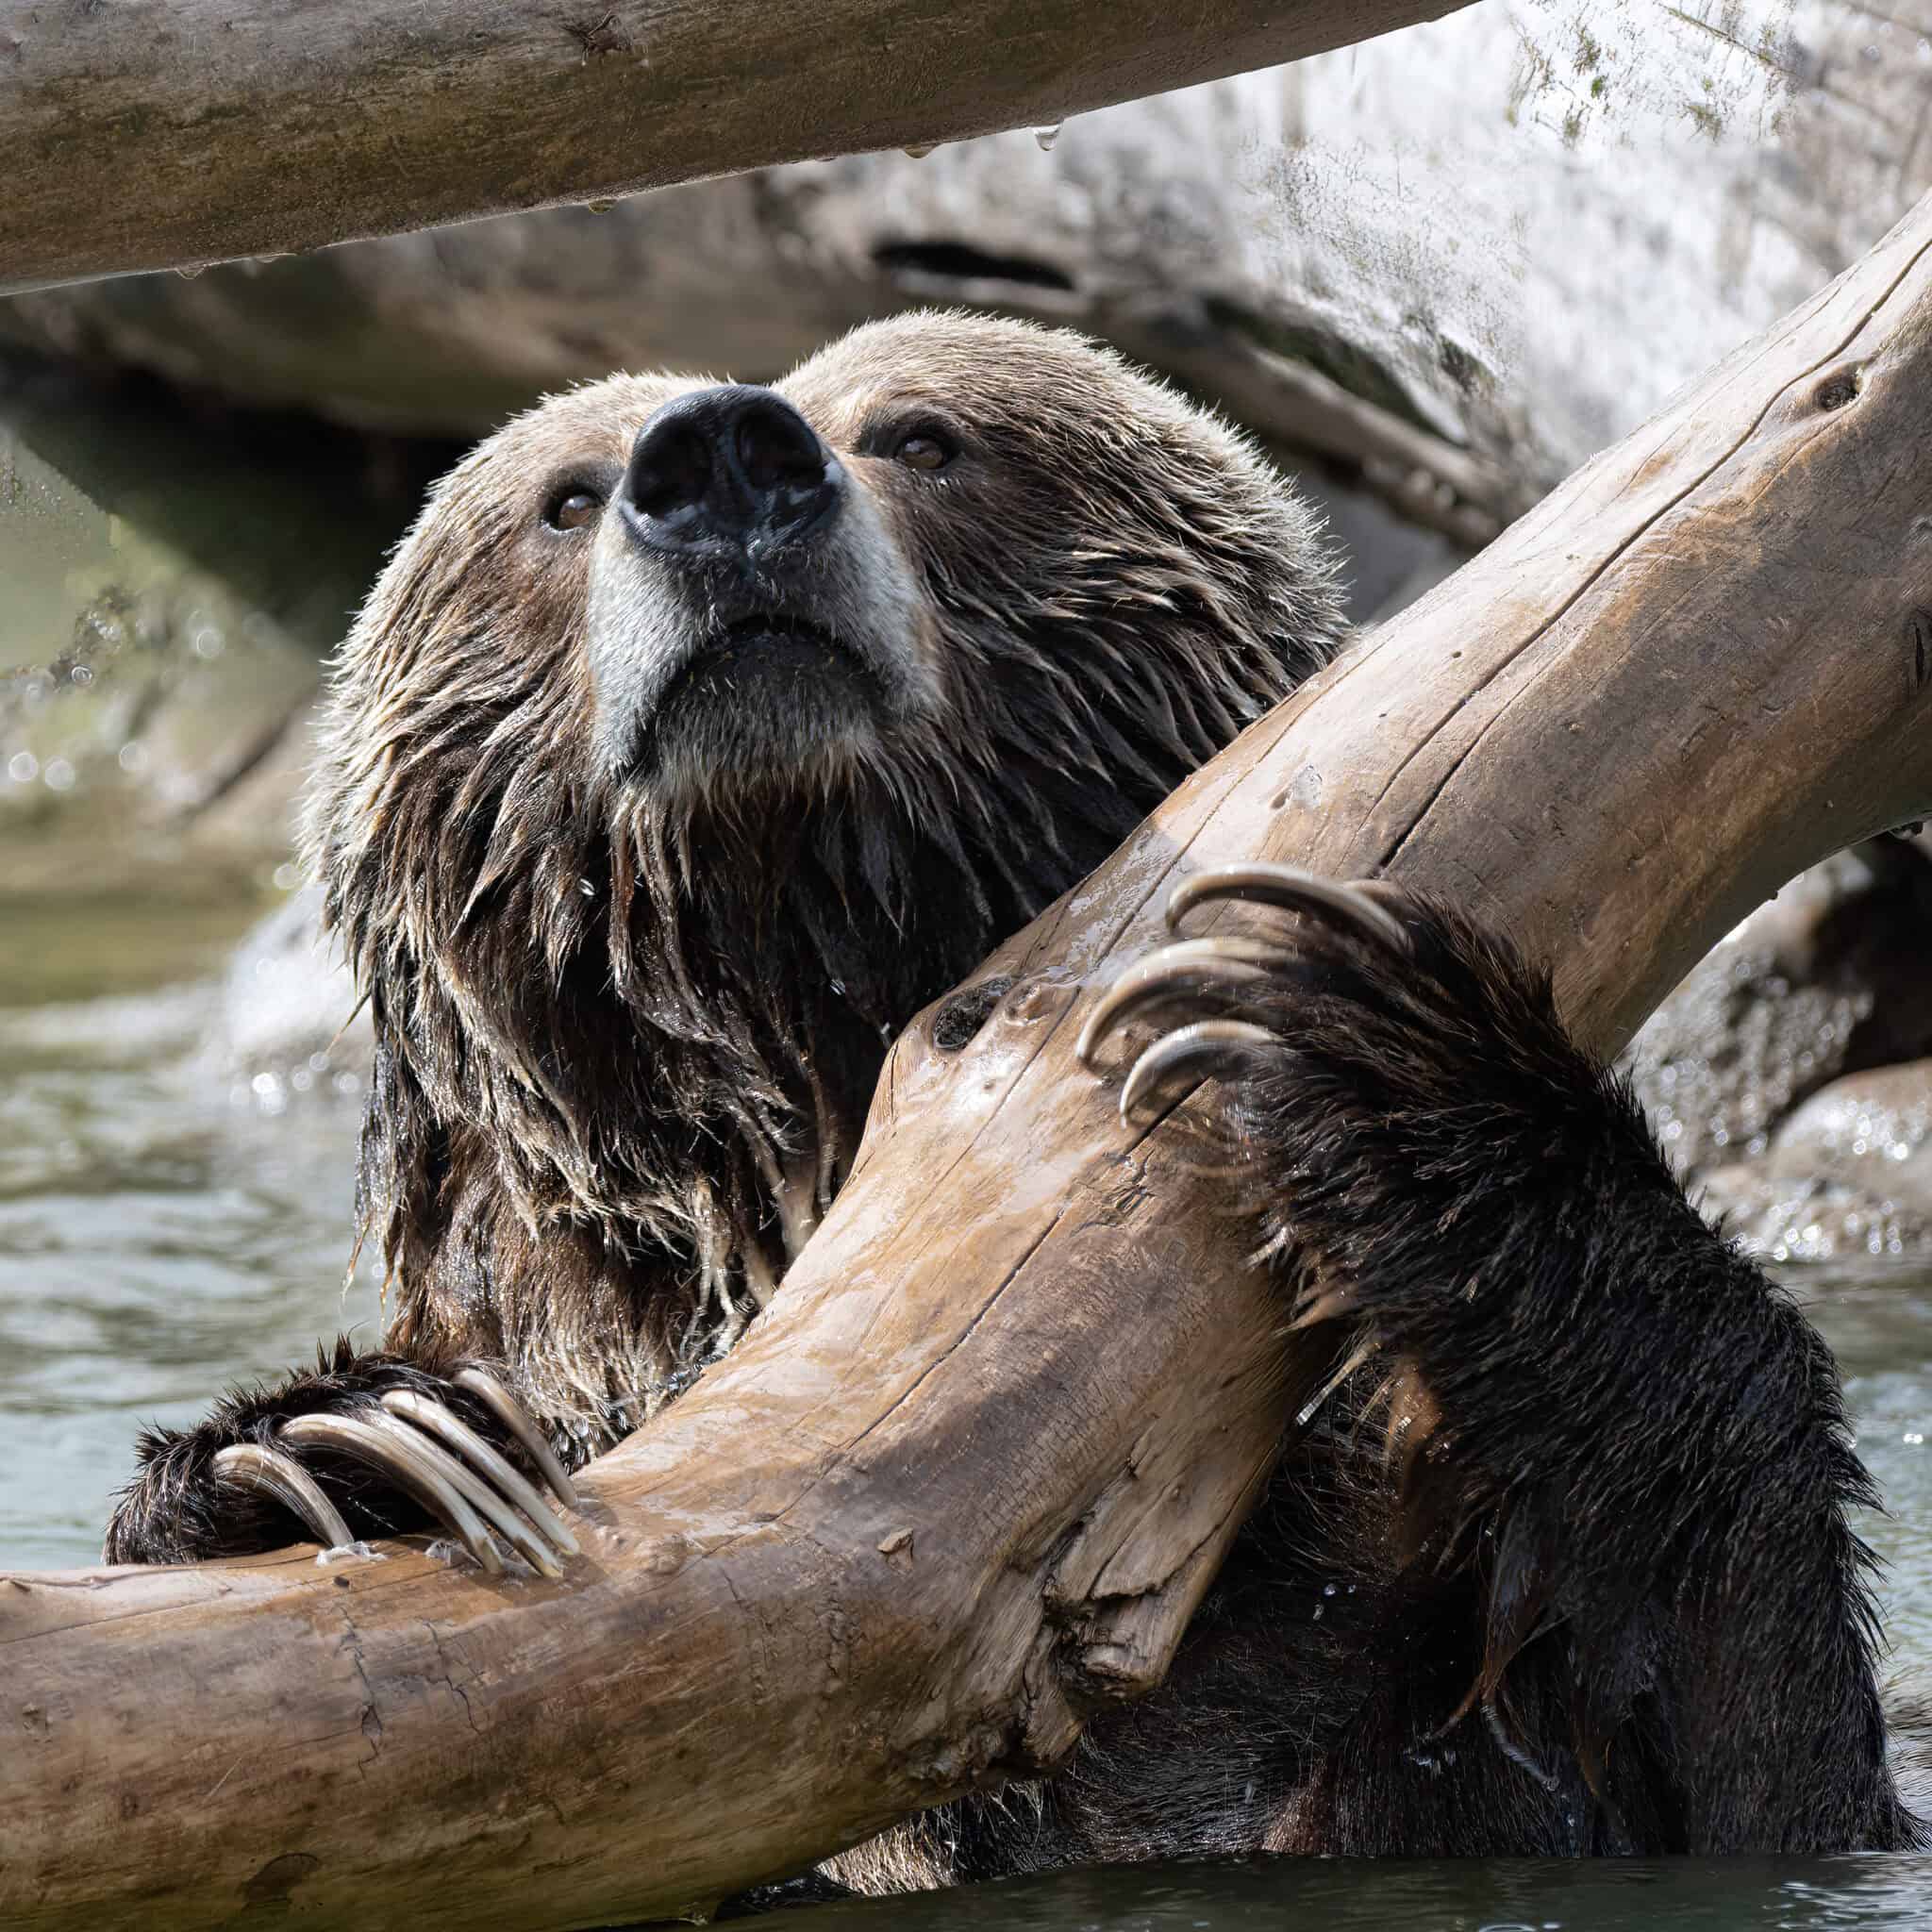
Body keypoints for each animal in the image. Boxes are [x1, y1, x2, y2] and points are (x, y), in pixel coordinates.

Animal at [104, 311, 1916, 1874]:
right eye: (560, 491)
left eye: (926, 432)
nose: (725, 460)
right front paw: (334, 1453)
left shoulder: (1411, 1659)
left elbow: (1764, 1763)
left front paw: (1363, 1053)